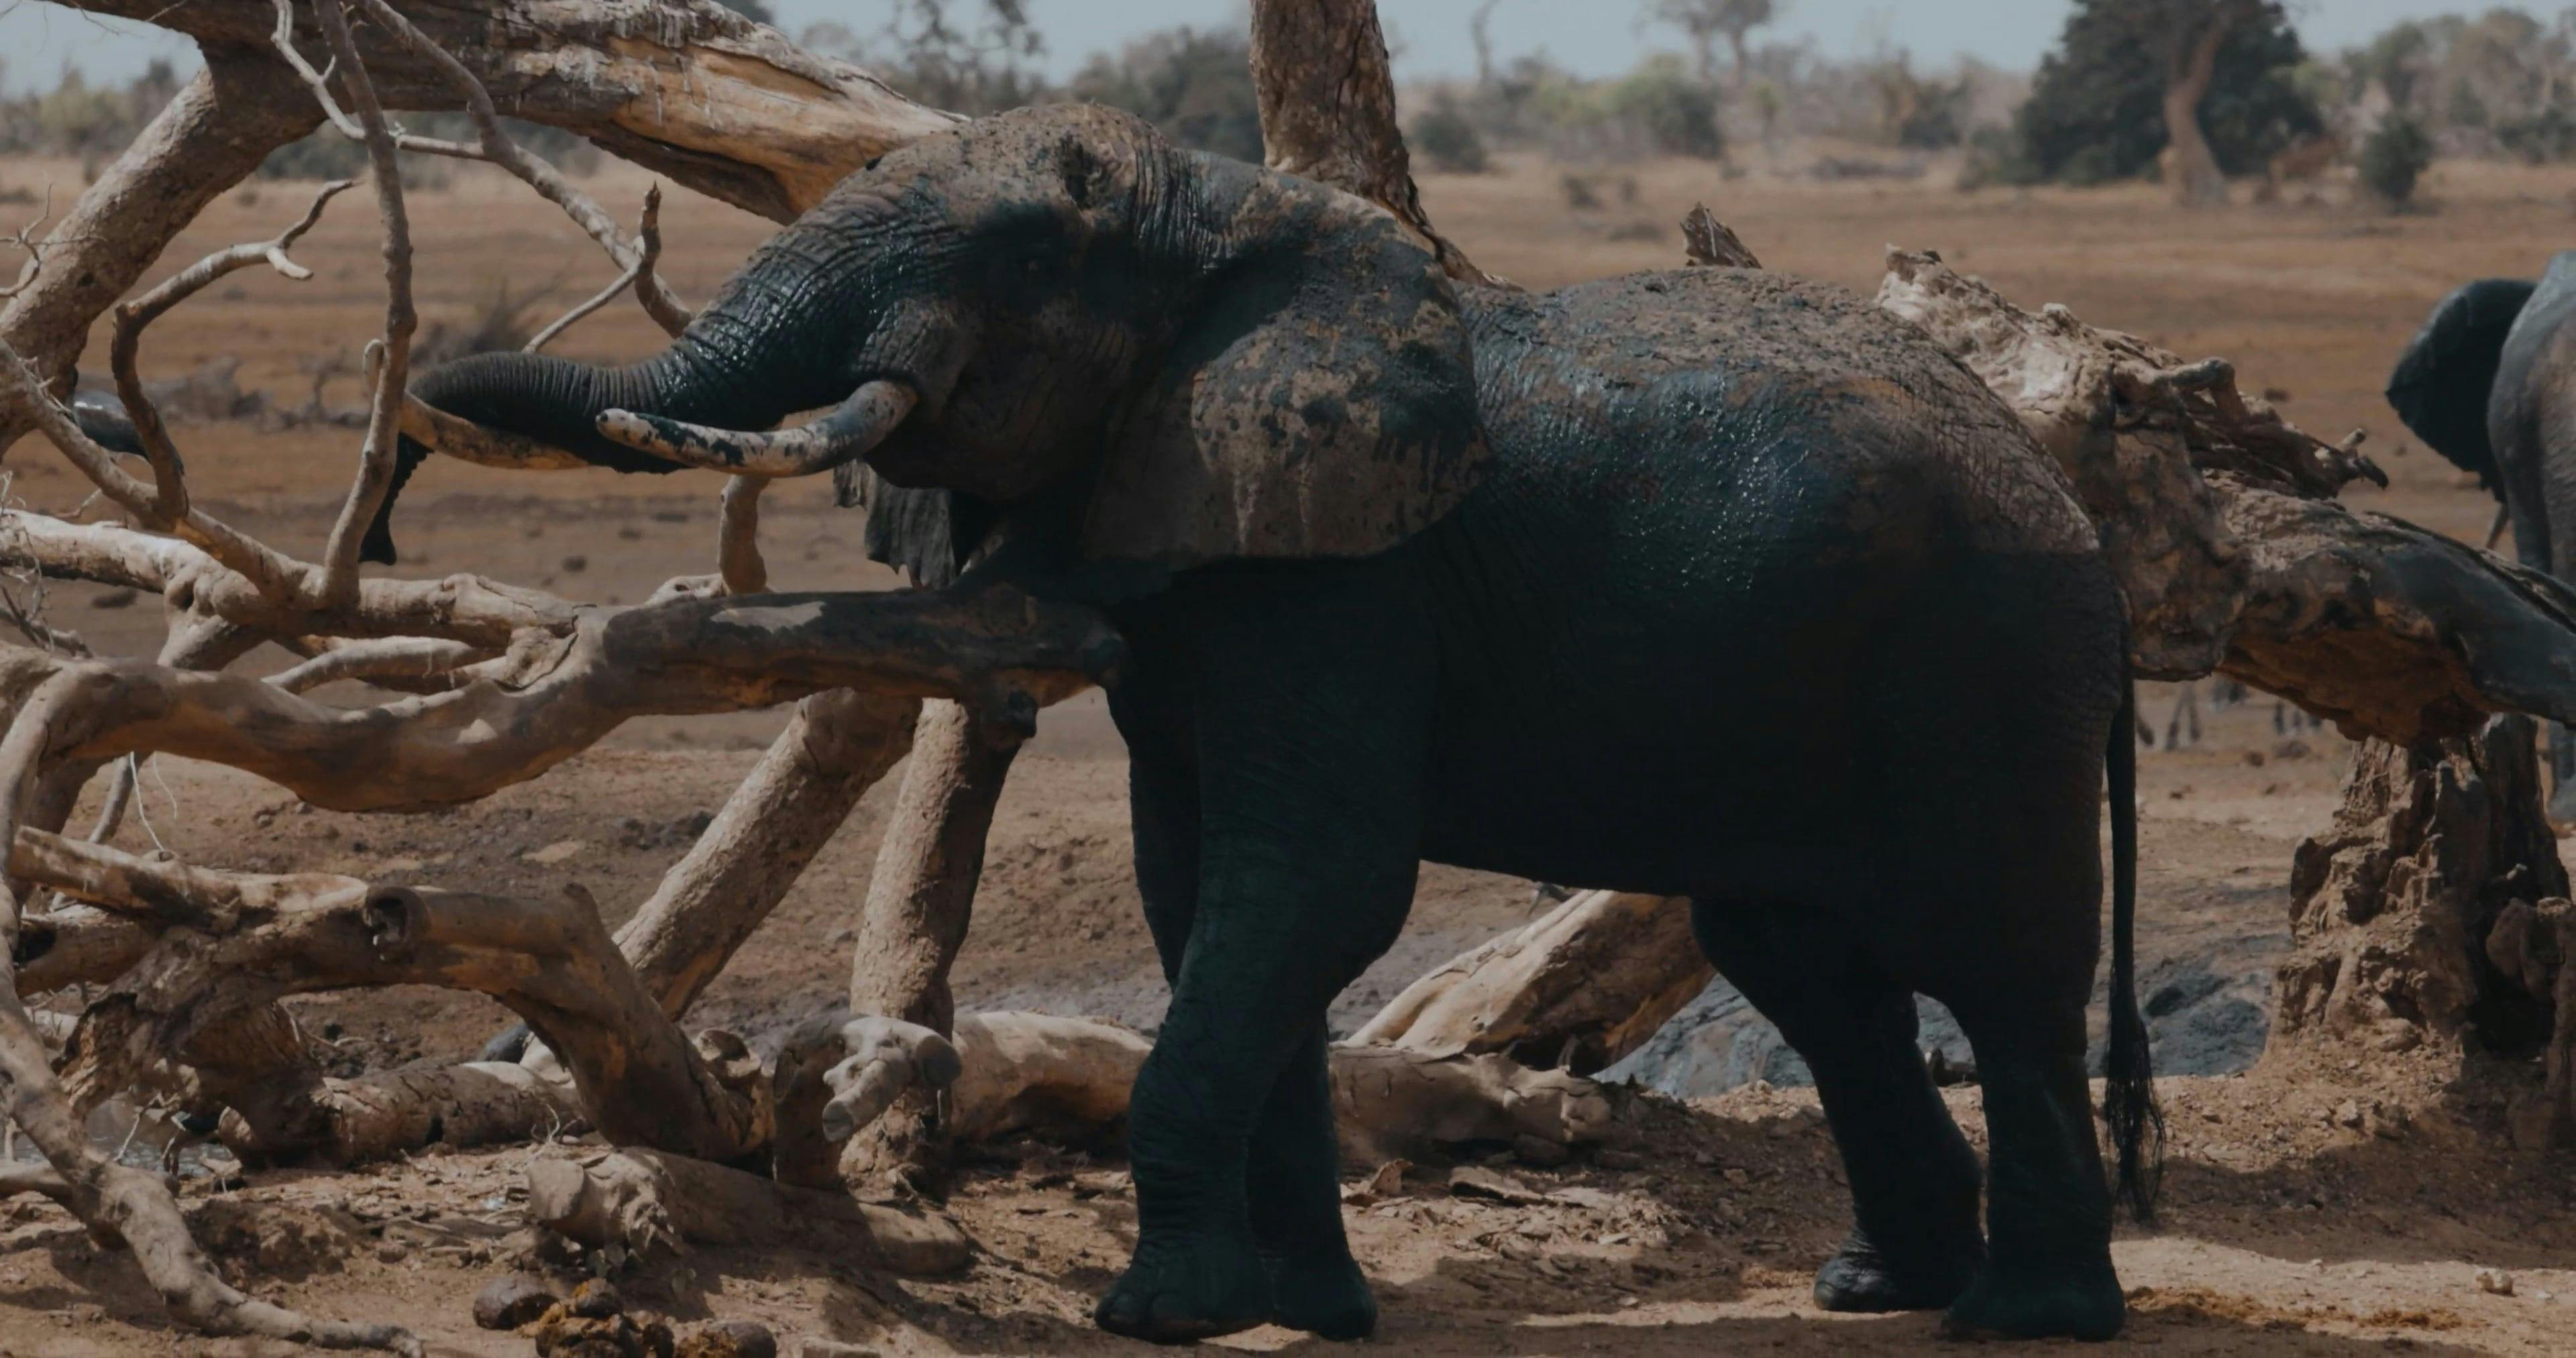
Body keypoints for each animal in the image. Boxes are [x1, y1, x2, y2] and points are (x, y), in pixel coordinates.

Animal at [382, 105, 2157, 1344]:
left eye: (1020, 263)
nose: (405, 434)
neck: (1224, 209)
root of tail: (2070, 496)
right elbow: (1208, 900)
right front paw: (1305, 1310)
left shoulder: (1339, 582)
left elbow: (1312, 883)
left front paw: (1162, 1315)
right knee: (1804, 963)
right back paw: (1876, 1287)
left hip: (1988, 662)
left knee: (1999, 963)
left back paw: (2022, 1317)